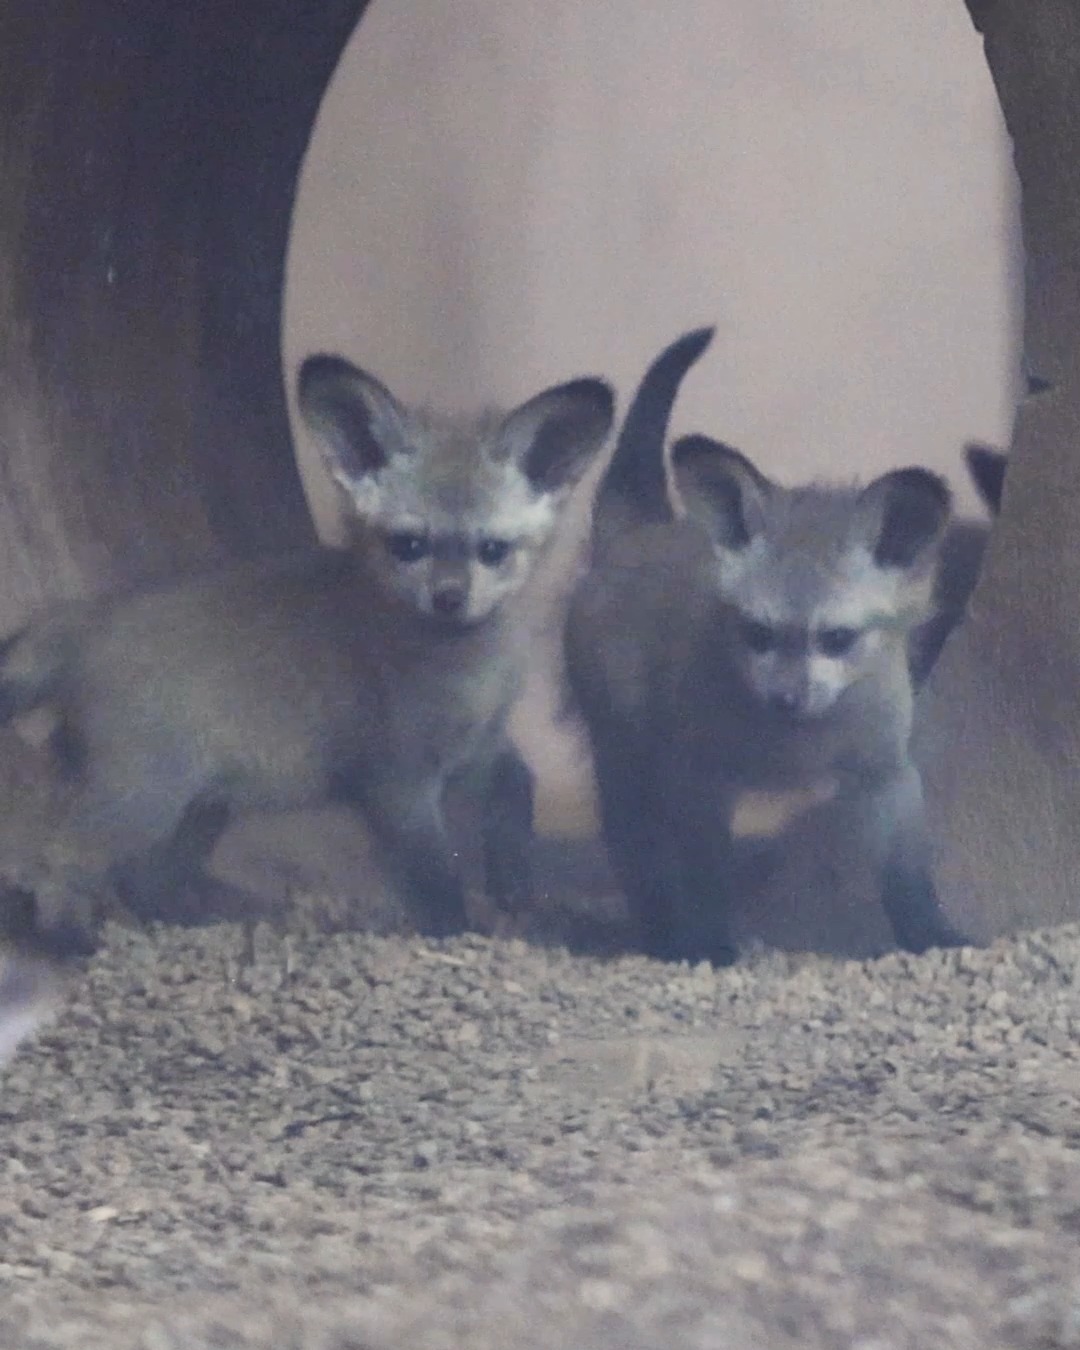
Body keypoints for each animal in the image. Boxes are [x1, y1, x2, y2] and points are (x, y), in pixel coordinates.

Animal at [0, 354, 615, 952]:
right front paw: (454, 933)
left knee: (144, 880)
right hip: (144, 799)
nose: (449, 598)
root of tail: (86, 619)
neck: (466, 675)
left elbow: (521, 786)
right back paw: (70, 937)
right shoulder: (399, 784)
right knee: (62, 859)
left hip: (200, 808)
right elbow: (434, 875)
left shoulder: (479, 751)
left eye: (493, 549)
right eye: (409, 545)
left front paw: (512, 875)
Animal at [566, 326, 971, 964]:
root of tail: (638, 533)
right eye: (757, 633)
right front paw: (709, 944)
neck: (795, 750)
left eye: (837, 638)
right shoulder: (699, 780)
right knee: (637, 859)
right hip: (623, 763)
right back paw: (663, 935)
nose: (788, 699)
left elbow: (908, 877)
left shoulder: (886, 772)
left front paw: (932, 936)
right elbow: (704, 879)